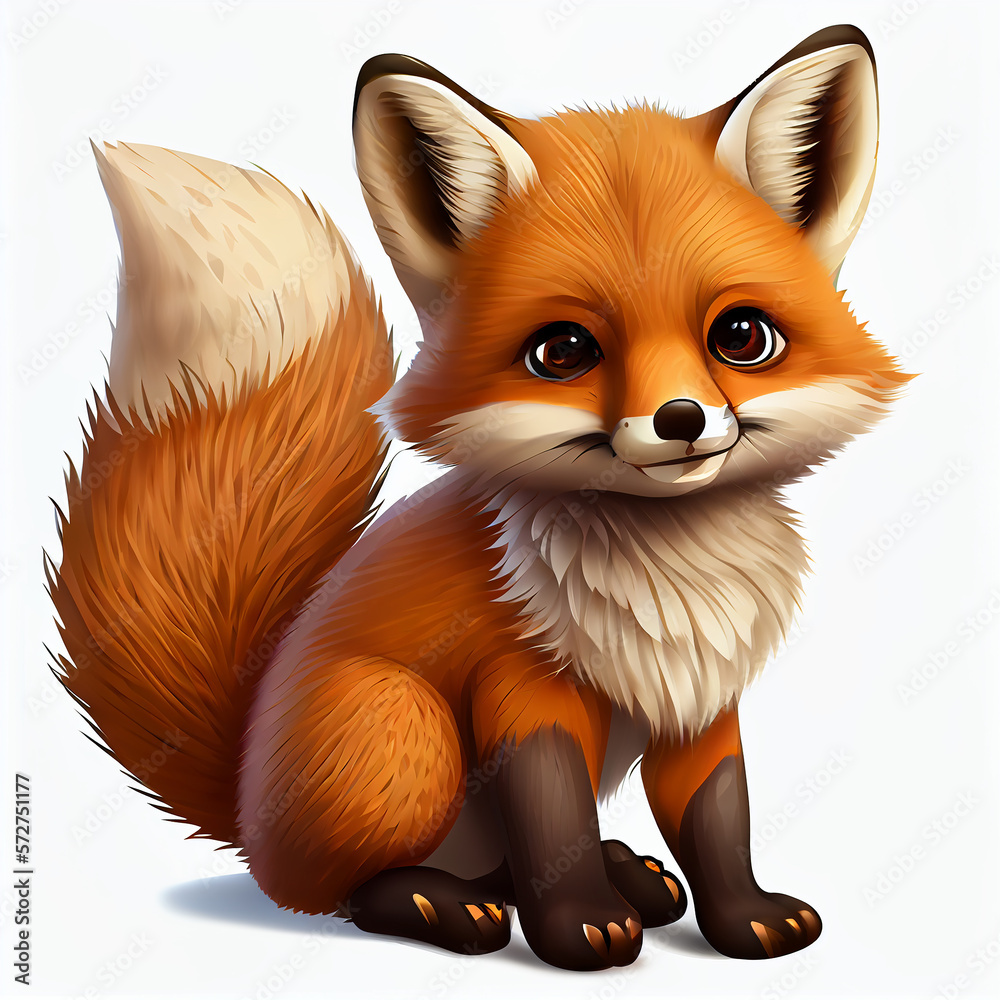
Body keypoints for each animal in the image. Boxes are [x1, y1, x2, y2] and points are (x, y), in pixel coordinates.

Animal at [48, 24, 909, 971]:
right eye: (563, 351)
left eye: (742, 337)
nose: (680, 419)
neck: (666, 578)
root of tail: (240, 790)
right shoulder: (519, 690)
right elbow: (553, 821)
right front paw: (579, 926)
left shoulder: (701, 702)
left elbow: (718, 819)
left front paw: (744, 918)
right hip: (405, 725)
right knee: (342, 892)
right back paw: (445, 905)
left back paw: (628, 876)